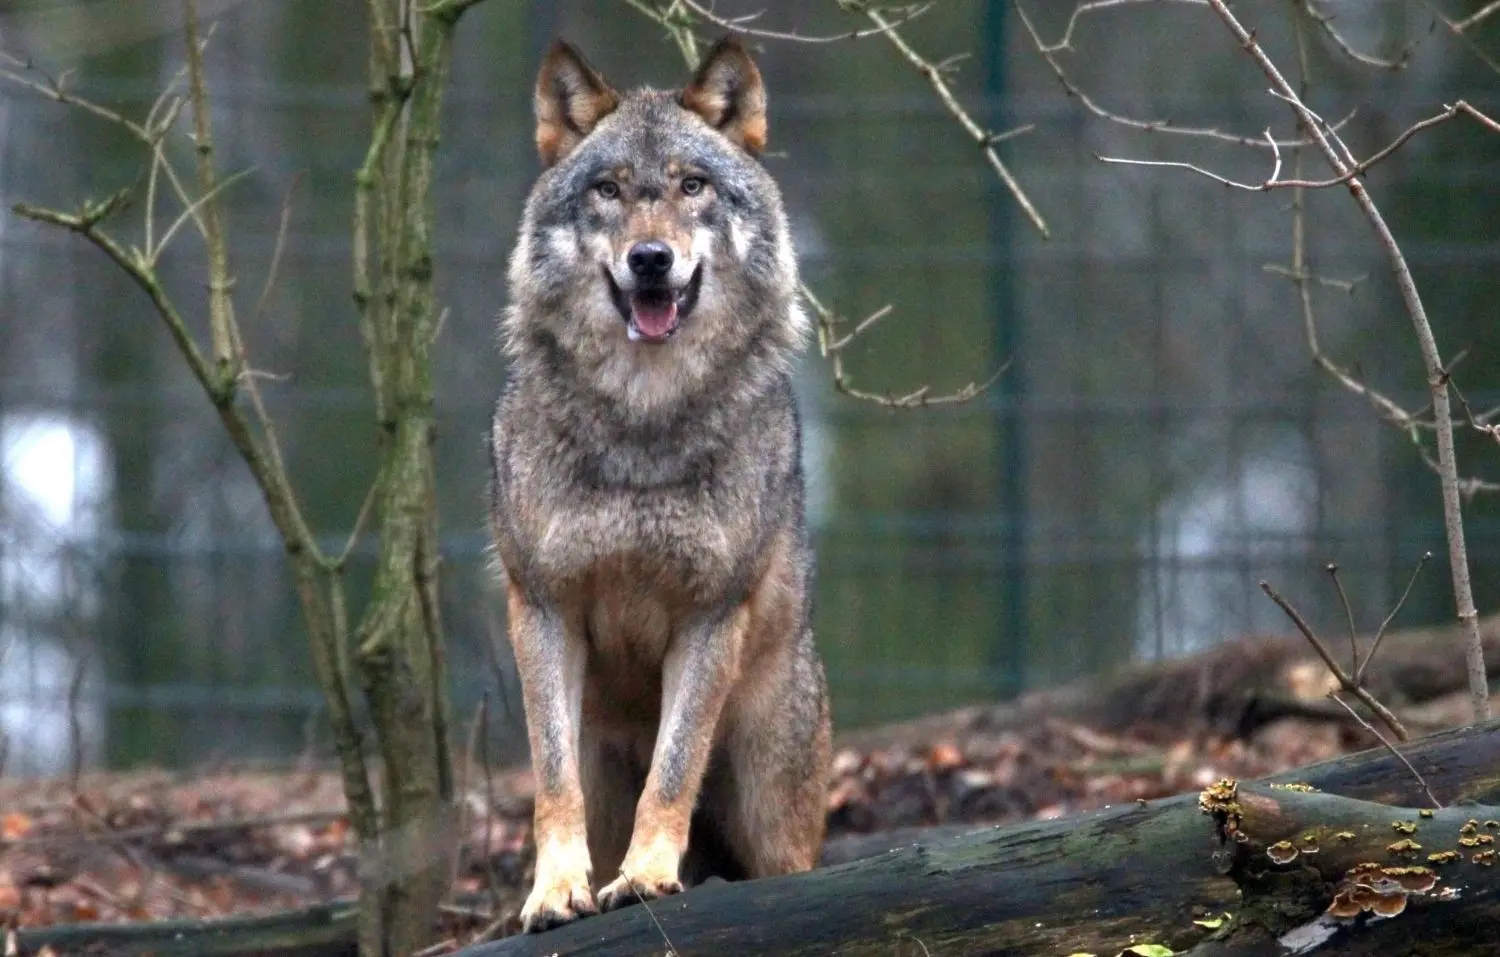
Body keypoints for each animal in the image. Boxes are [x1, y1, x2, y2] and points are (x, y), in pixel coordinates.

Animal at [486, 36, 832, 933]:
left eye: (692, 185)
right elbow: (552, 781)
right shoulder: (543, 606)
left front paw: (644, 877)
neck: (643, 423)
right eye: (608, 190)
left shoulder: (710, 613)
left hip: (772, 804)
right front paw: (555, 889)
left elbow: (672, 771)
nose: (651, 258)